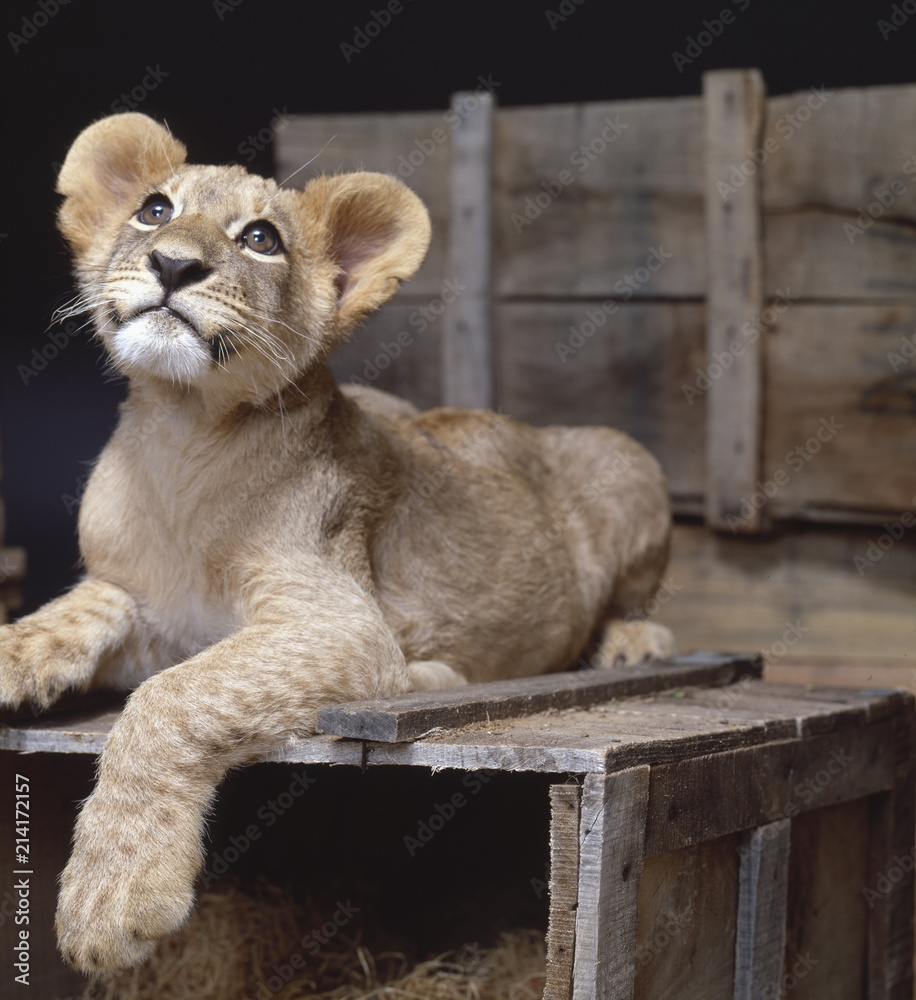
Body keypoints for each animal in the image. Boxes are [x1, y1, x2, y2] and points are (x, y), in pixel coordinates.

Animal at [0, 113, 673, 973]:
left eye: (260, 238)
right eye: (154, 210)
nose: (174, 263)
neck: (184, 438)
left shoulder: (341, 622)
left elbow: (172, 699)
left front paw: (112, 896)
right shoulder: (137, 598)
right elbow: (73, 616)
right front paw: (13, 652)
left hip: (626, 457)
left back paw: (619, 644)